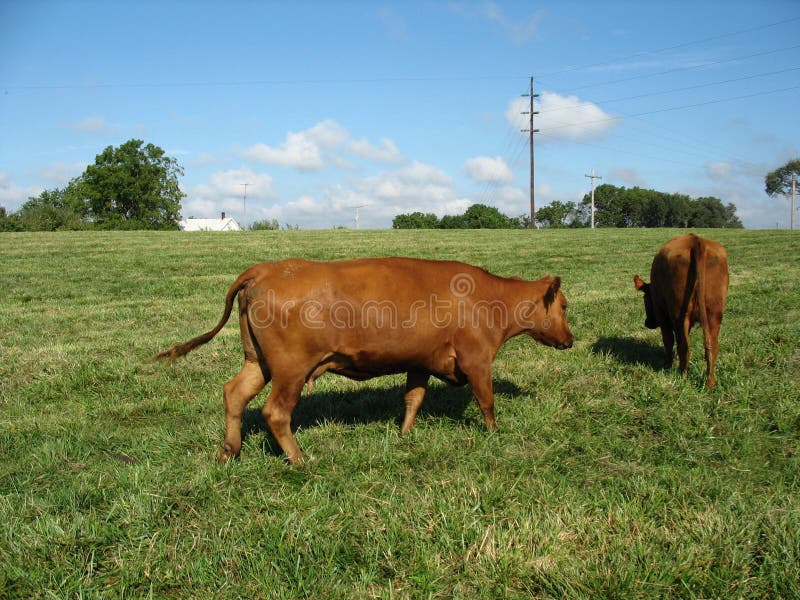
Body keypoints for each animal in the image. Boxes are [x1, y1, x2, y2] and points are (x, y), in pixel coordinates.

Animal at [154, 257, 574, 464]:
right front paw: (494, 435)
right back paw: (299, 460)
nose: (571, 340)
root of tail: (268, 268)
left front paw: (404, 435)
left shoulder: (419, 362)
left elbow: (413, 398)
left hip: (258, 361)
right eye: (565, 306)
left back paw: (229, 452)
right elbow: (486, 400)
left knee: (234, 394)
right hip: (291, 369)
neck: (491, 299)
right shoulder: (477, 359)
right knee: (275, 412)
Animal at [633, 233, 729, 389]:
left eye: (645, 299)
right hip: (714, 314)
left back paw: (682, 376)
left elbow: (668, 339)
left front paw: (668, 365)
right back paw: (710, 383)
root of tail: (696, 240)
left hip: (679, 314)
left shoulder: (662, 314)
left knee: (684, 345)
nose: (648, 323)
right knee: (712, 347)